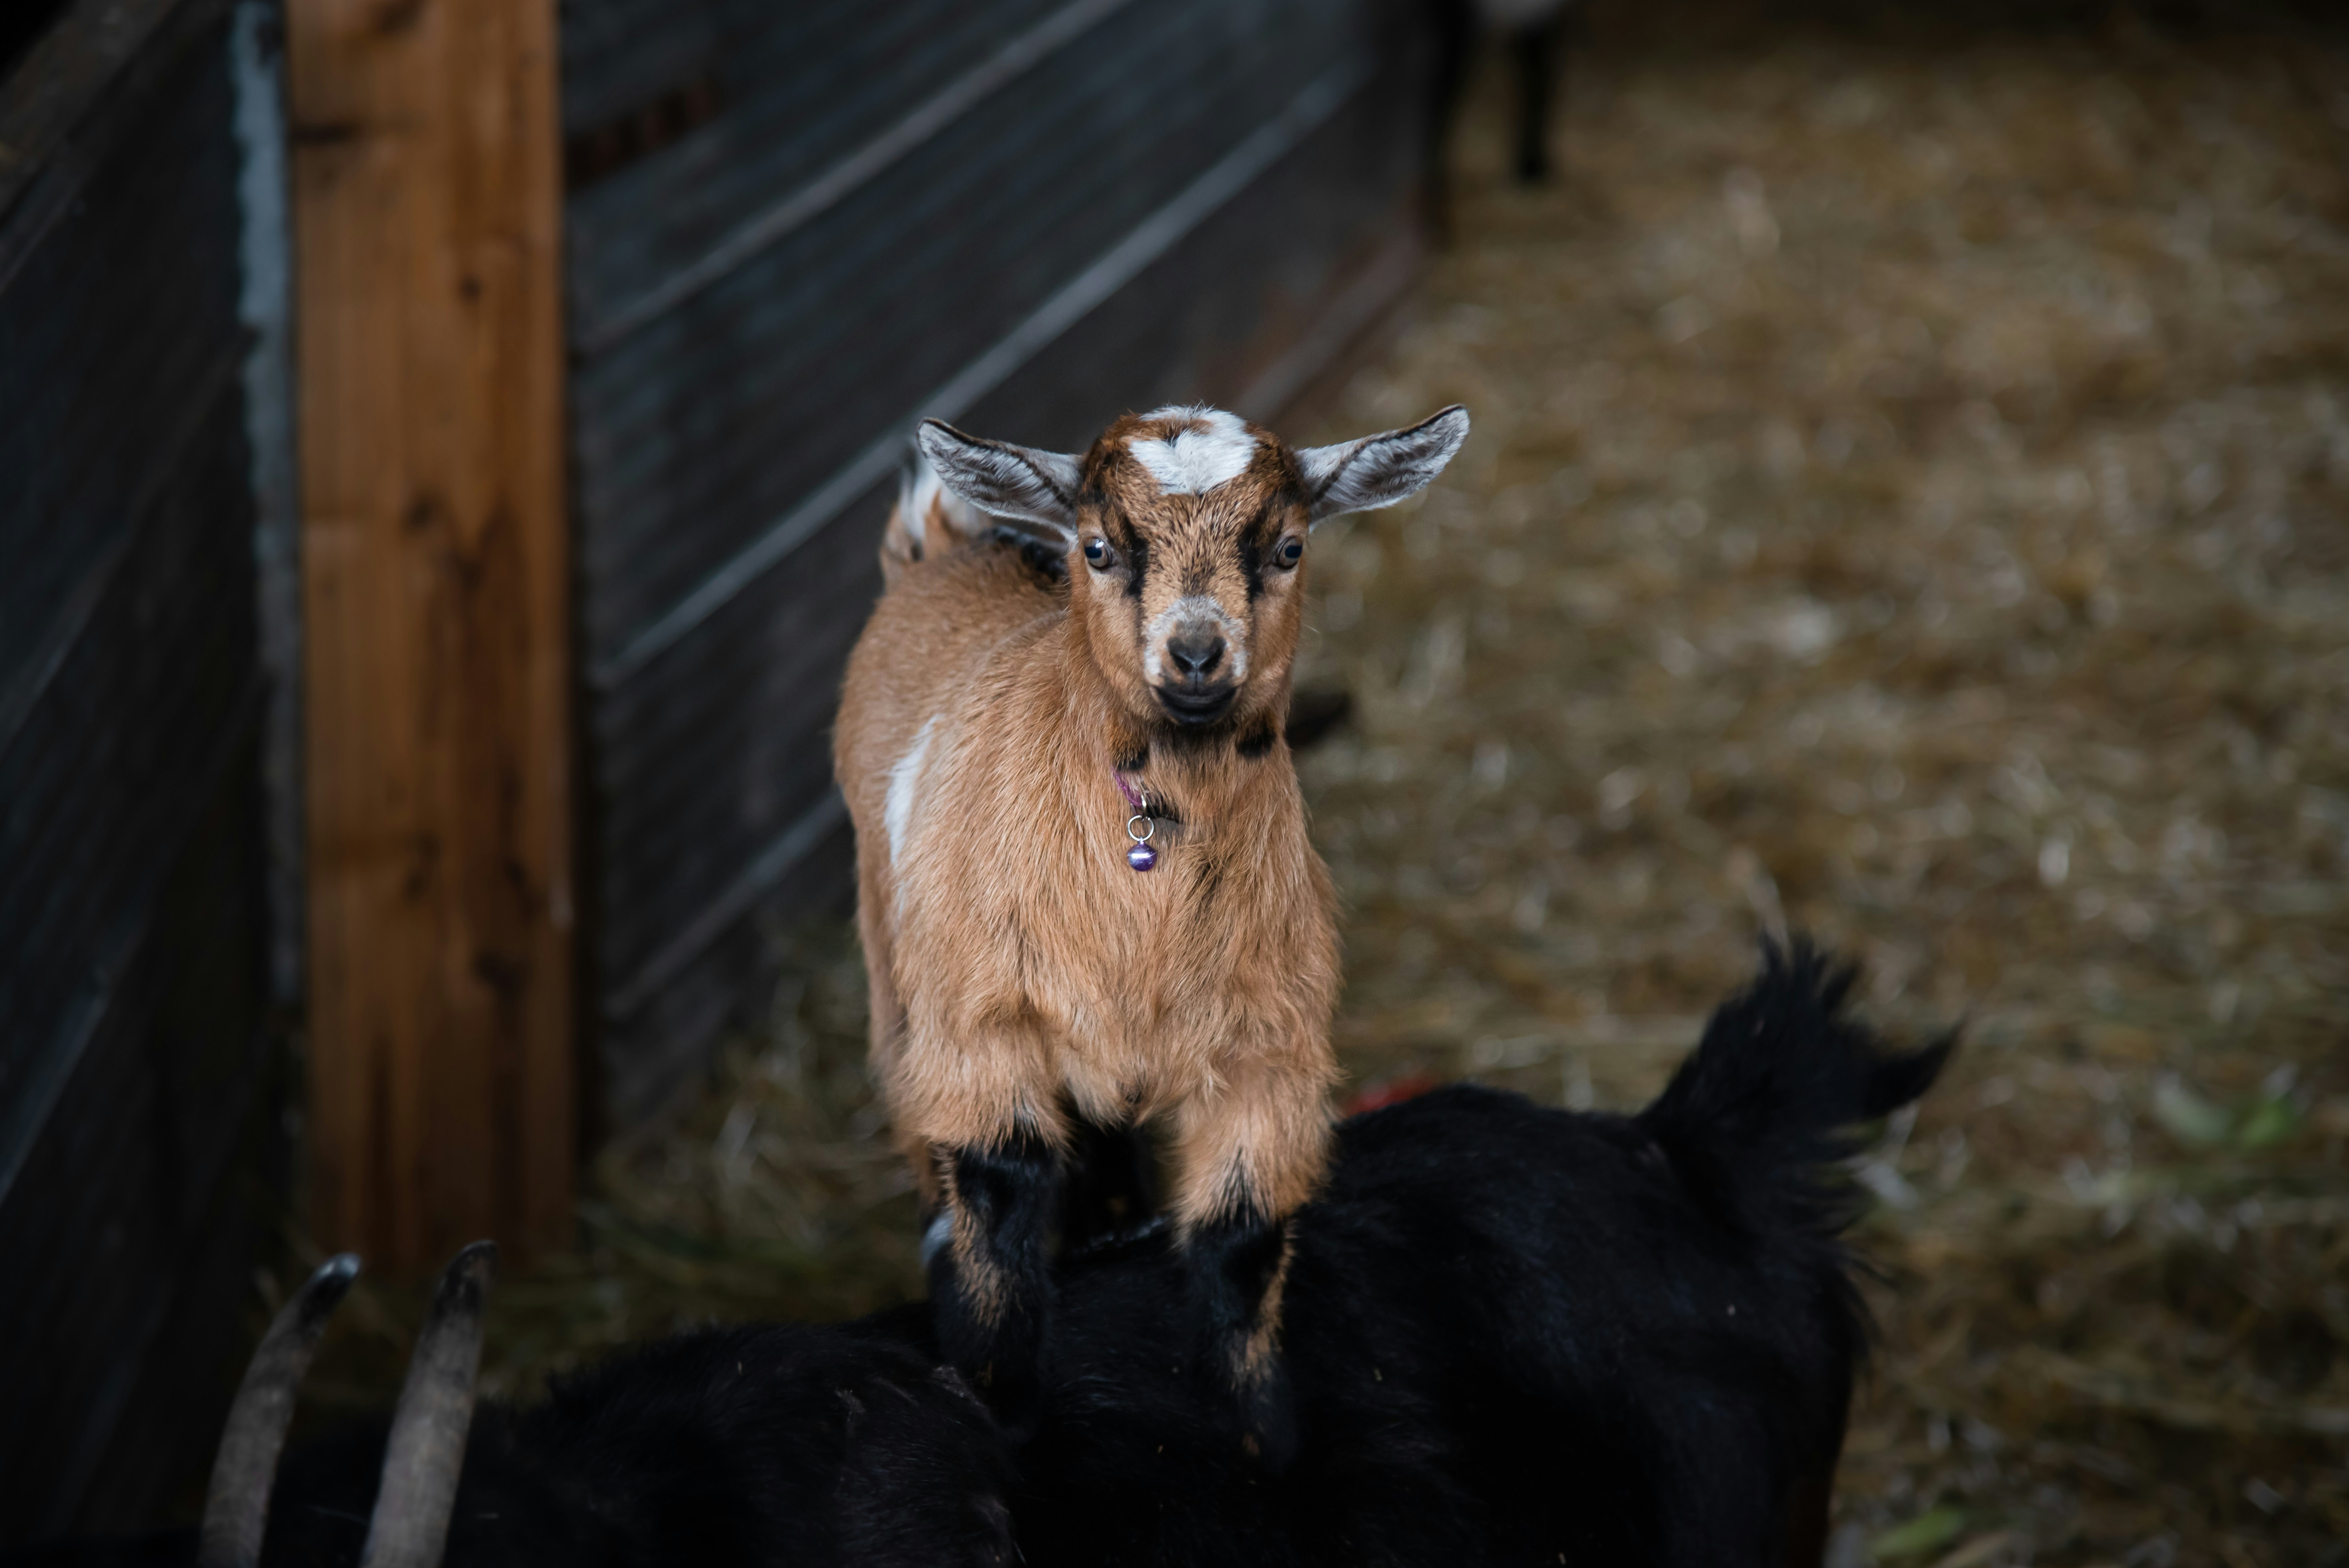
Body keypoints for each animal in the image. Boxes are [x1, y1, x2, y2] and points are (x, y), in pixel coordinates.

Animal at [834, 402, 1470, 1446]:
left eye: (1288, 547)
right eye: (1098, 548)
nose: (1197, 654)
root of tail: (953, 546)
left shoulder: (1268, 1055)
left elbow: (1239, 1248)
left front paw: (1261, 1439)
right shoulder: (981, 1039)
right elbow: (997, 1234)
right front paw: (1002, 1418)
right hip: (896, 969)